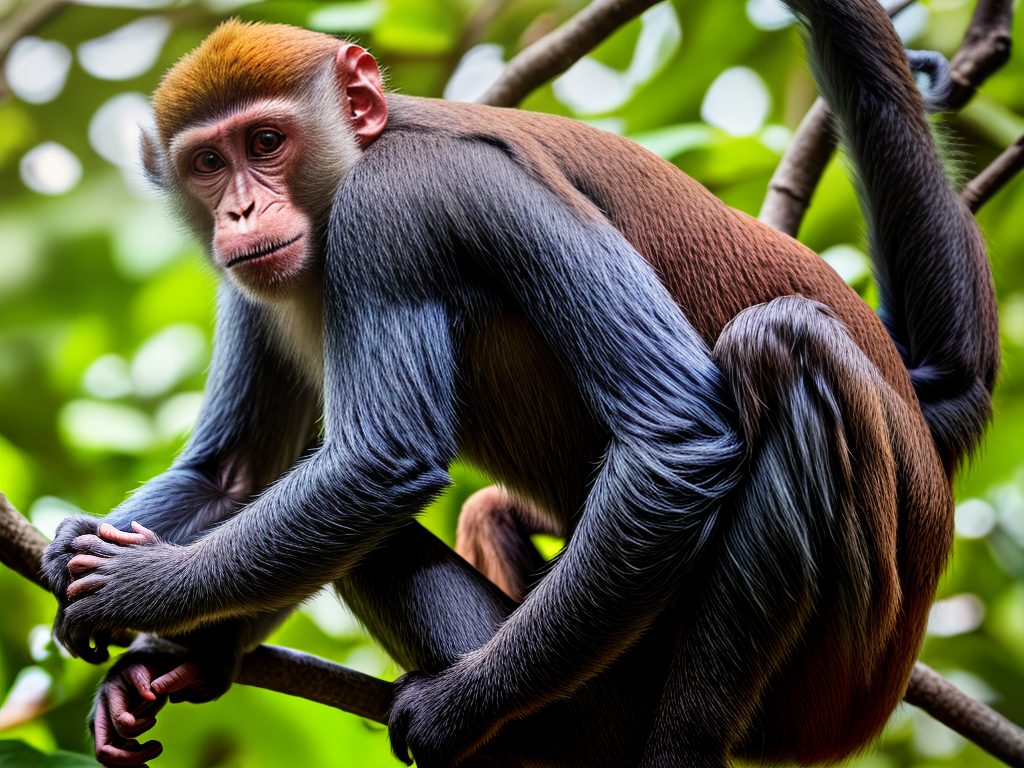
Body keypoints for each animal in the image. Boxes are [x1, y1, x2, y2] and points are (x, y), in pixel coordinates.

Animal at [41, 0, 999, 765]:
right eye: (209, 164)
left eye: (266, 143)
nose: (240, 211)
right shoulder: (251, 282)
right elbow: (233, 476)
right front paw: (100, 577)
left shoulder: (401, 198)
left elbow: (403, 462)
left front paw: (136, 589)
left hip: (830, 672)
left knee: (781, 344)